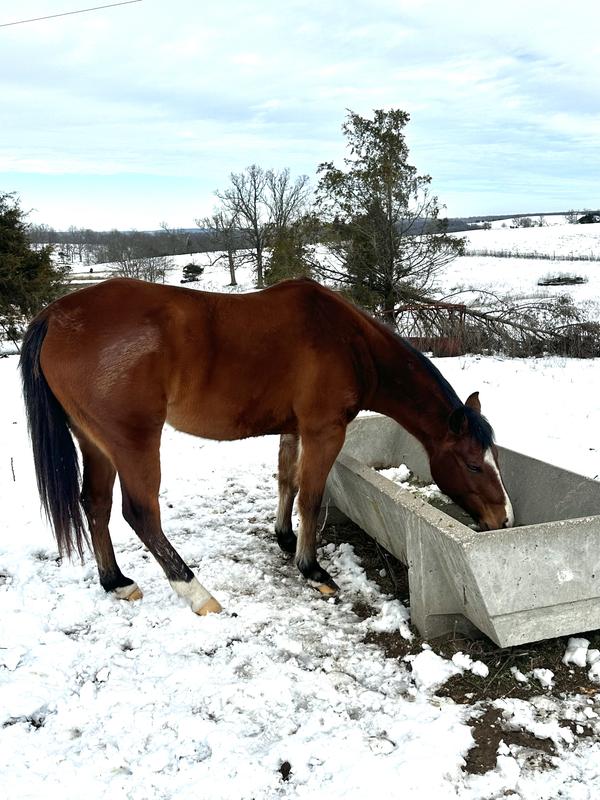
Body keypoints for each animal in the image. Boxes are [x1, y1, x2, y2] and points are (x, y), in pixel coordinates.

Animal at [20, 277, 513, 615]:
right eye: (473, 465)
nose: (503, 519)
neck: (348, 341)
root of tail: (55, 316)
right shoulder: (324, 432)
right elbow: (311, 497)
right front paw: (314, 571)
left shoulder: (294, 430)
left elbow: (286, 482)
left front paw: (285, 538)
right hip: (133, 442)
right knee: (139, 514)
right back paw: (199, 595)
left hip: (95, 443)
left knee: (95, 505)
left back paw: (117, 582)